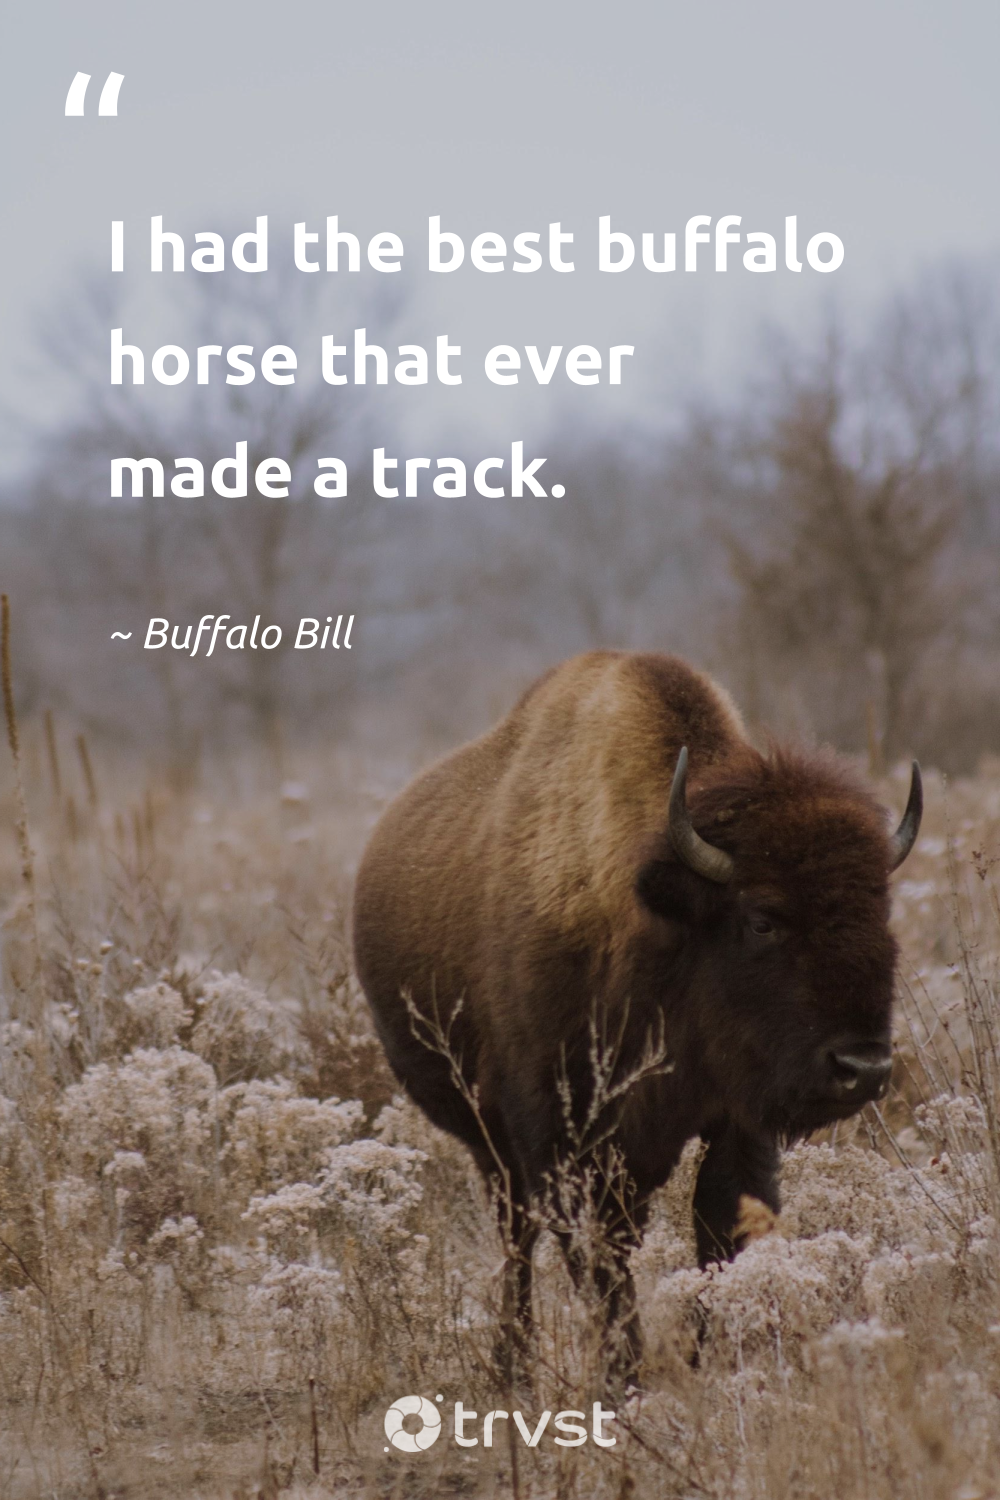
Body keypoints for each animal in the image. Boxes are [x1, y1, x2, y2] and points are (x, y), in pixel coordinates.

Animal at [352, 650, 922, 1382]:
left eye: (881, 911)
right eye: (762, 919)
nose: (863, 1066)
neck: (657, 920)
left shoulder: (736, 1122)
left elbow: (720, 1225)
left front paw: (703, 1356)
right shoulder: (562, 1142)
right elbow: (602, 1259)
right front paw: (626, 1378)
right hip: (489, 1141)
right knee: (517, 1237)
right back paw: (512, 1366)